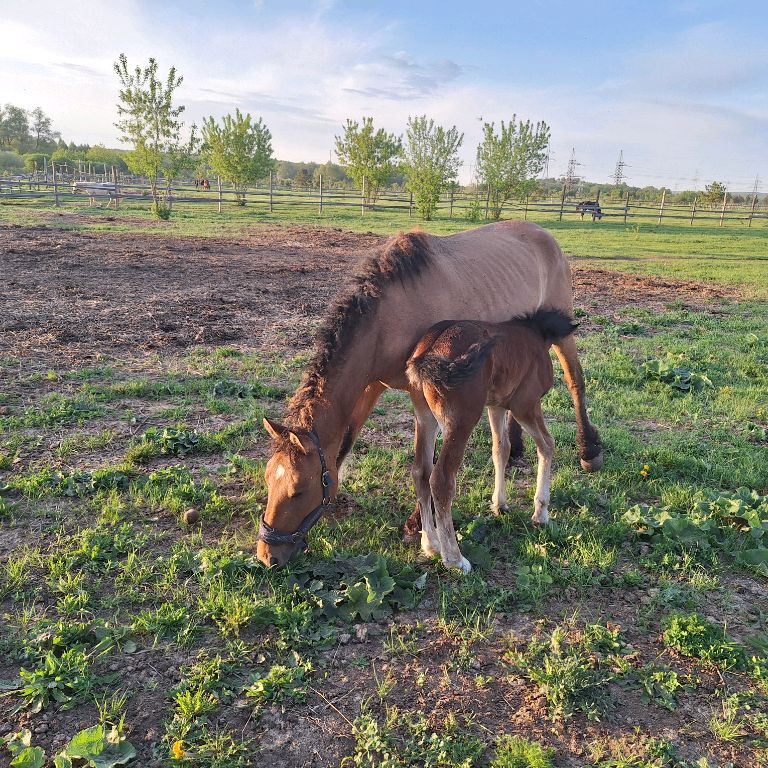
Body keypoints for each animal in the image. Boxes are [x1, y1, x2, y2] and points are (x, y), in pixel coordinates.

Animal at [405, 309, 577, 572]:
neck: (537, 334)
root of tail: (427, 352)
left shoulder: (496, 405)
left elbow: (501, 449)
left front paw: (499, 503)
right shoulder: (525, 404)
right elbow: (547, 444)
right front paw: (541, 512)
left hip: (424, 418)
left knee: (420, 472)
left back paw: (431, 544)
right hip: (461, 421)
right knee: (442, 480)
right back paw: (454, 558)